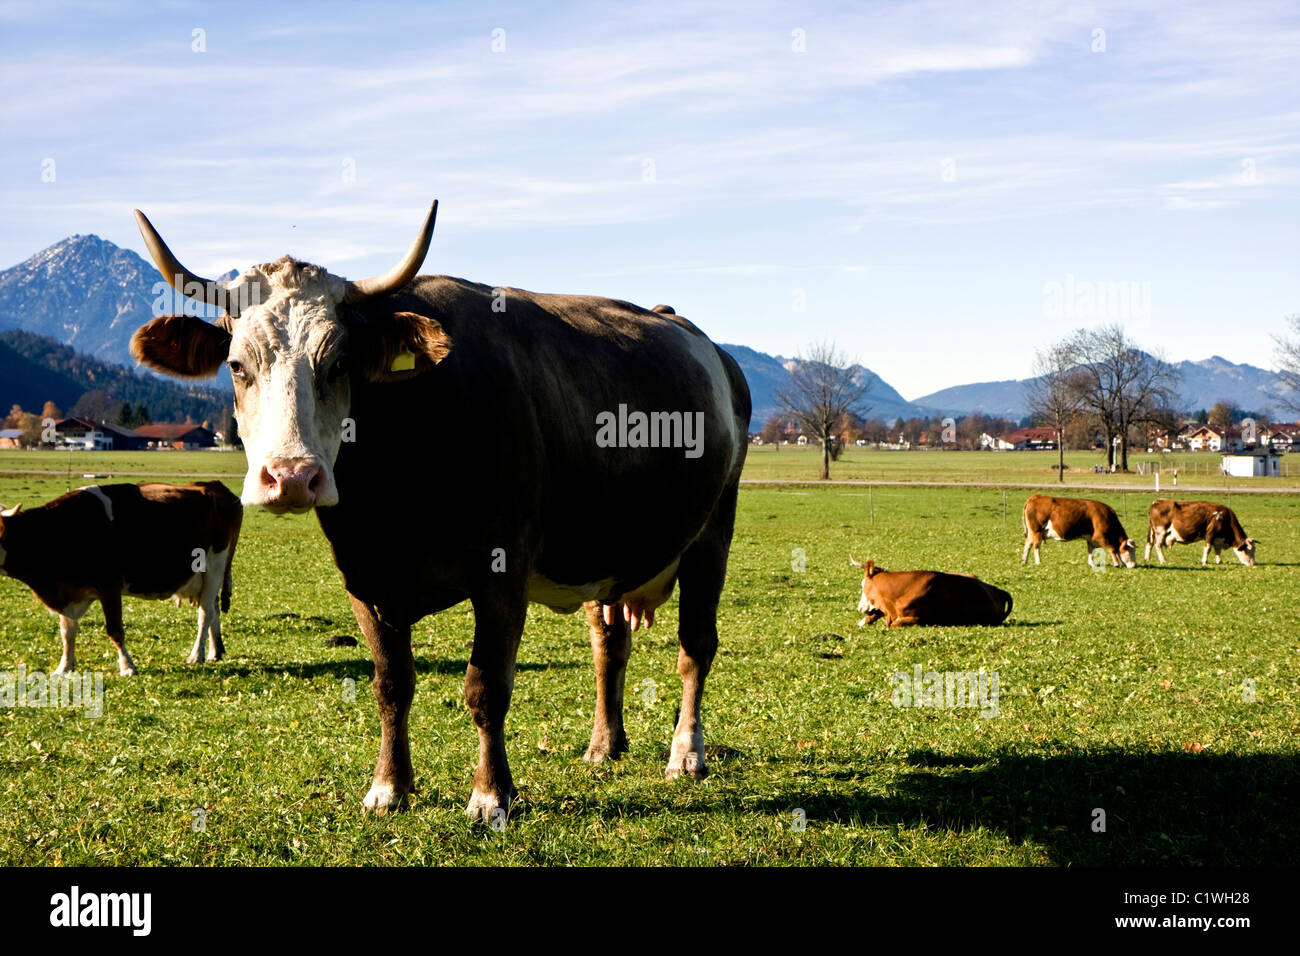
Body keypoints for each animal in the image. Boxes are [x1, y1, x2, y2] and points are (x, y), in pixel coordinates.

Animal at [0, 482, 242, 675]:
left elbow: (115, 630)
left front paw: (127, 667)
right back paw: (214, 651)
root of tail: (213, 486)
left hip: (215, 565)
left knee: (205, 612)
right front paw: (65, 666)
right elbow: (67, 632)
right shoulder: (68, 592)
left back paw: (196, 655)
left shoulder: (109, 587)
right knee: (214, 608)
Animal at [127, 201, 750, 822]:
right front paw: (389, 786)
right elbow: (391, 683)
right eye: (237, 365)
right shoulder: (364, 578)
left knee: (695, 648)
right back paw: (603, 744)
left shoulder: (504, 572)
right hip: (605, 556)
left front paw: (492, 795)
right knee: (609, 645)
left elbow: (486, 686)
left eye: (340, 363)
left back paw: (686, 754)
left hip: (711, 538)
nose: (291, 478)